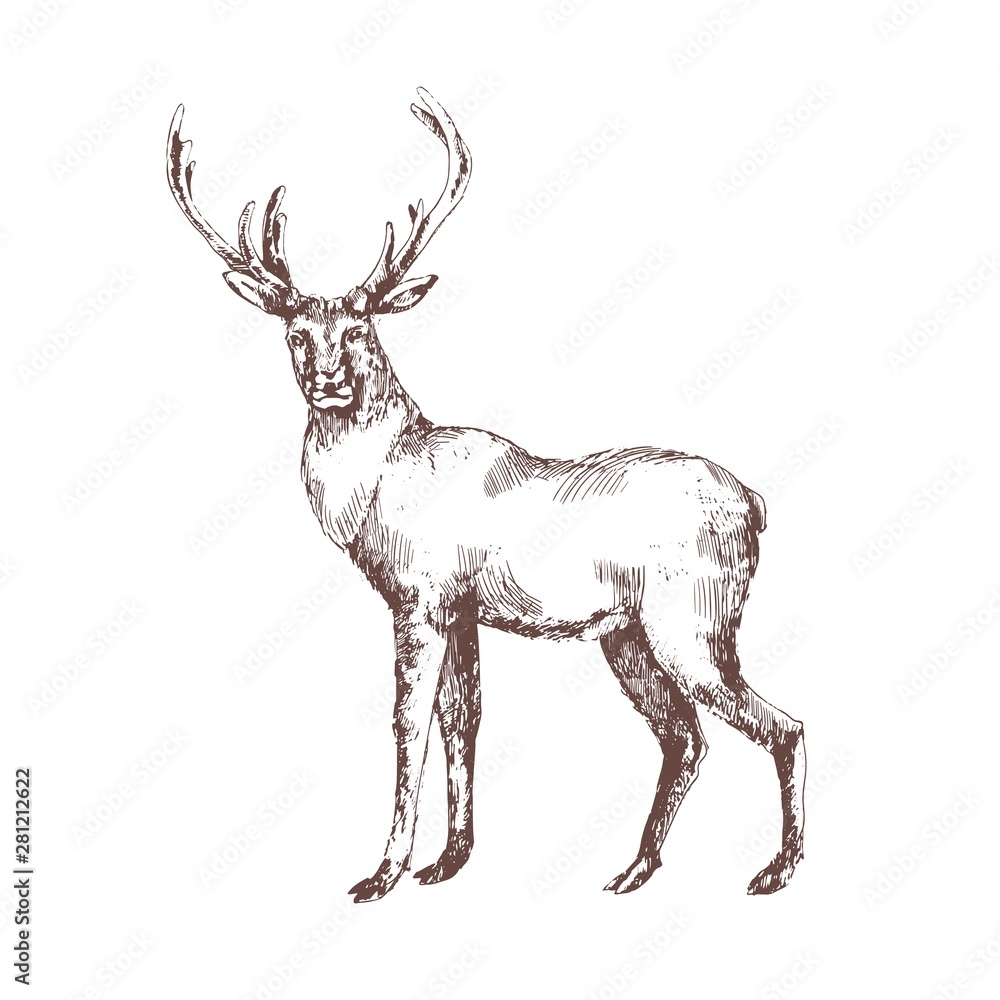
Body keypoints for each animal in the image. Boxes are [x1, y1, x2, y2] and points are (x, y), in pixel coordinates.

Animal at [166, 89, 806, 903]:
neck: (376, 492)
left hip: (693, 620)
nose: (328, 382)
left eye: (361, 329)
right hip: (629, 635)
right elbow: (461, 721)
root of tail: (755, 503)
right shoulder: (462, 608)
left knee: (778, 724)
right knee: (685, 737)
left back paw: (774, 869)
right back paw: (634, 869)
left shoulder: (421, 597)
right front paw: (448, 860)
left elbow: (407, 727)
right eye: (296, 334)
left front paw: (383, 873)